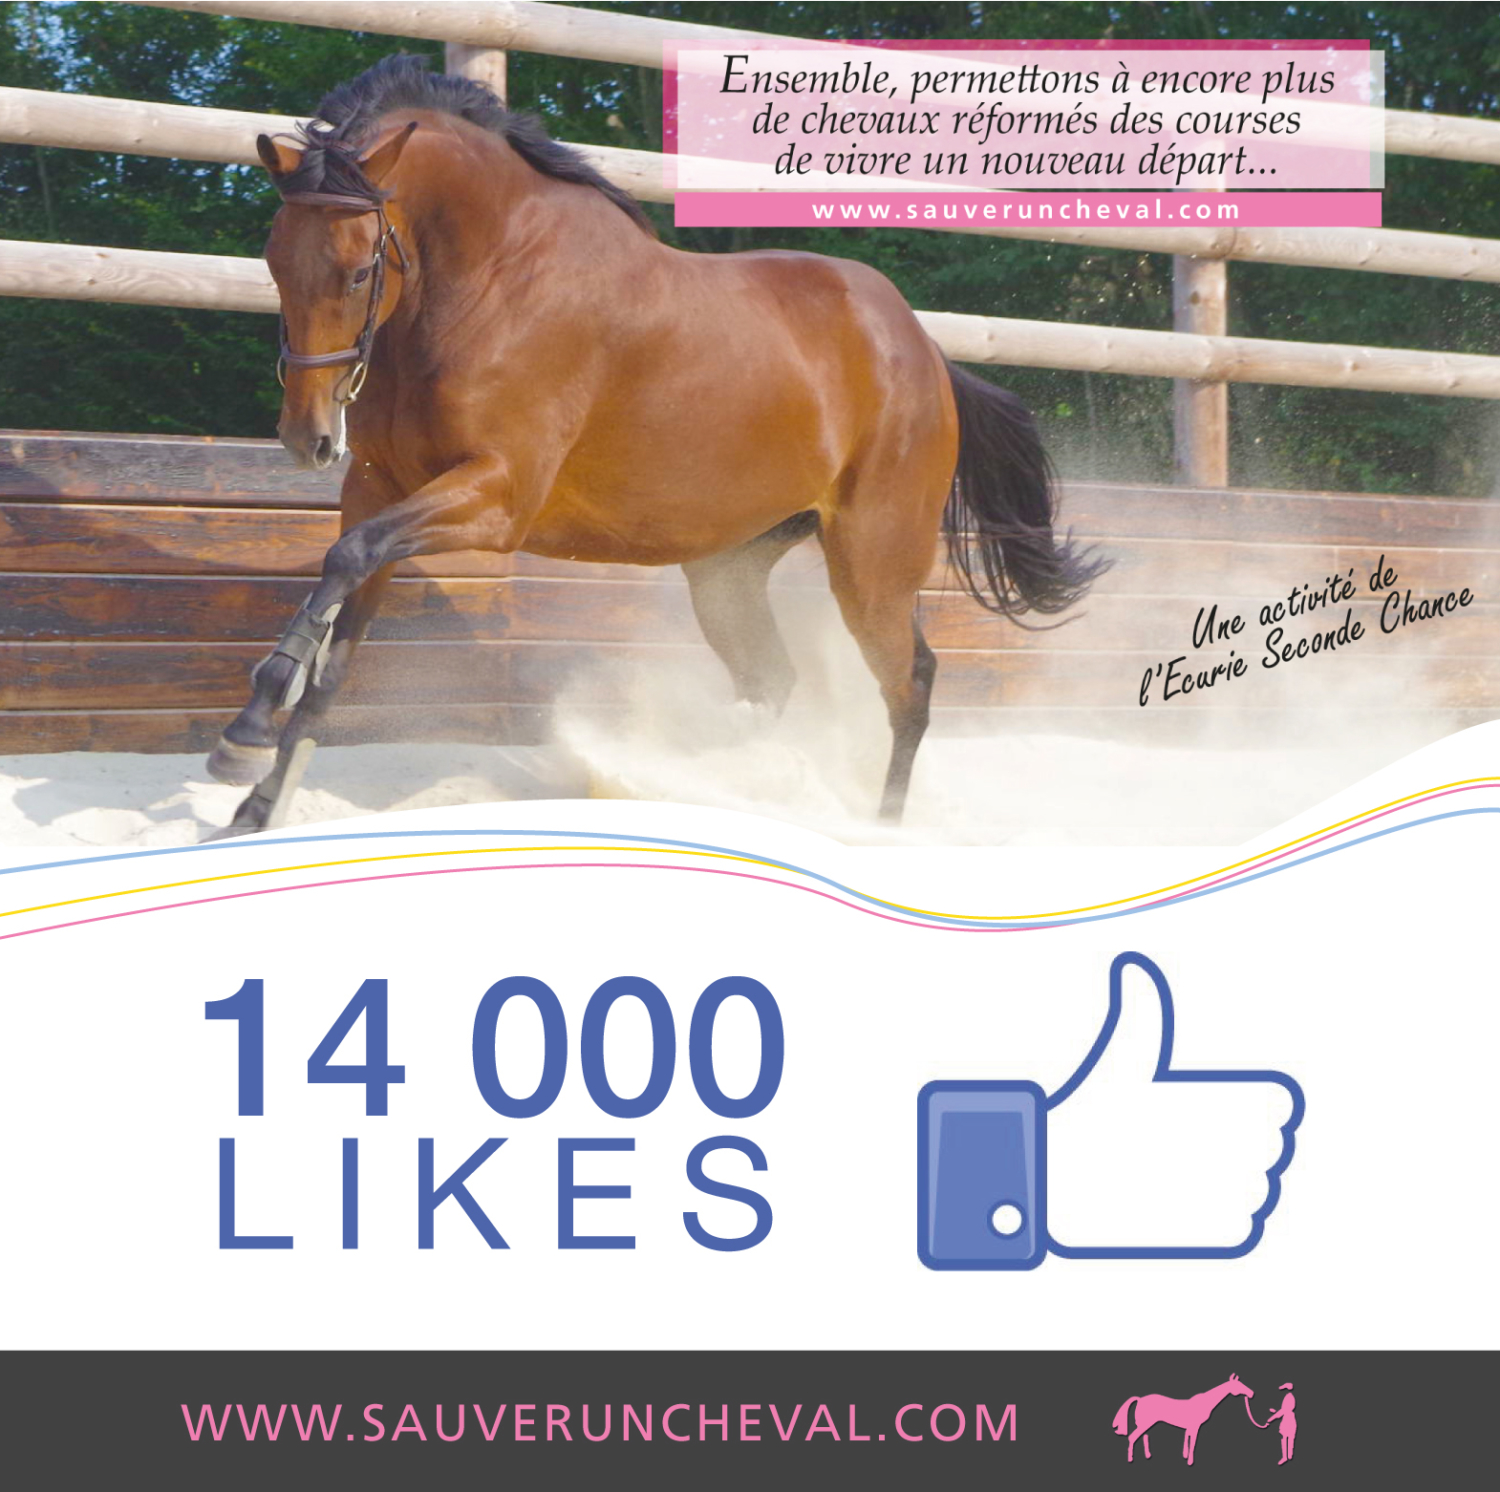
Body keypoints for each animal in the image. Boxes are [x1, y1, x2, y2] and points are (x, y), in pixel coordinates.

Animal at [208, 54, 1103, 836]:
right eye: (274, 260)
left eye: (360, 271)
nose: (307, 438)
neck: (488, 283)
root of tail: (924, 352)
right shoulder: (383, 490)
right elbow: (337, 639)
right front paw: (254, 804)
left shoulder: (497, 499)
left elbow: (345, 560)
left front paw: (245, 728)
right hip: (728, 571)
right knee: (773, 680)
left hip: (873, 563)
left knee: (910, 682)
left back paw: (877, 828)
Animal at [1112, 1373, 1254, 1466]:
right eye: (1239, 1384)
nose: (1252, 1394)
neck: (1204, 1403)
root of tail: (1140, 1399)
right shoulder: (1196, 1426)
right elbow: (1193, 1442)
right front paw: (1190, 1461)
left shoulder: (1190, 1427)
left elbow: (1187, 1439)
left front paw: (1185, 1456)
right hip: (1145, 1424)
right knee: (1133, 1437)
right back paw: (1130, 1459)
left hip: (1146, 1424)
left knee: (1143, 1436)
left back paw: (1148, 1456)